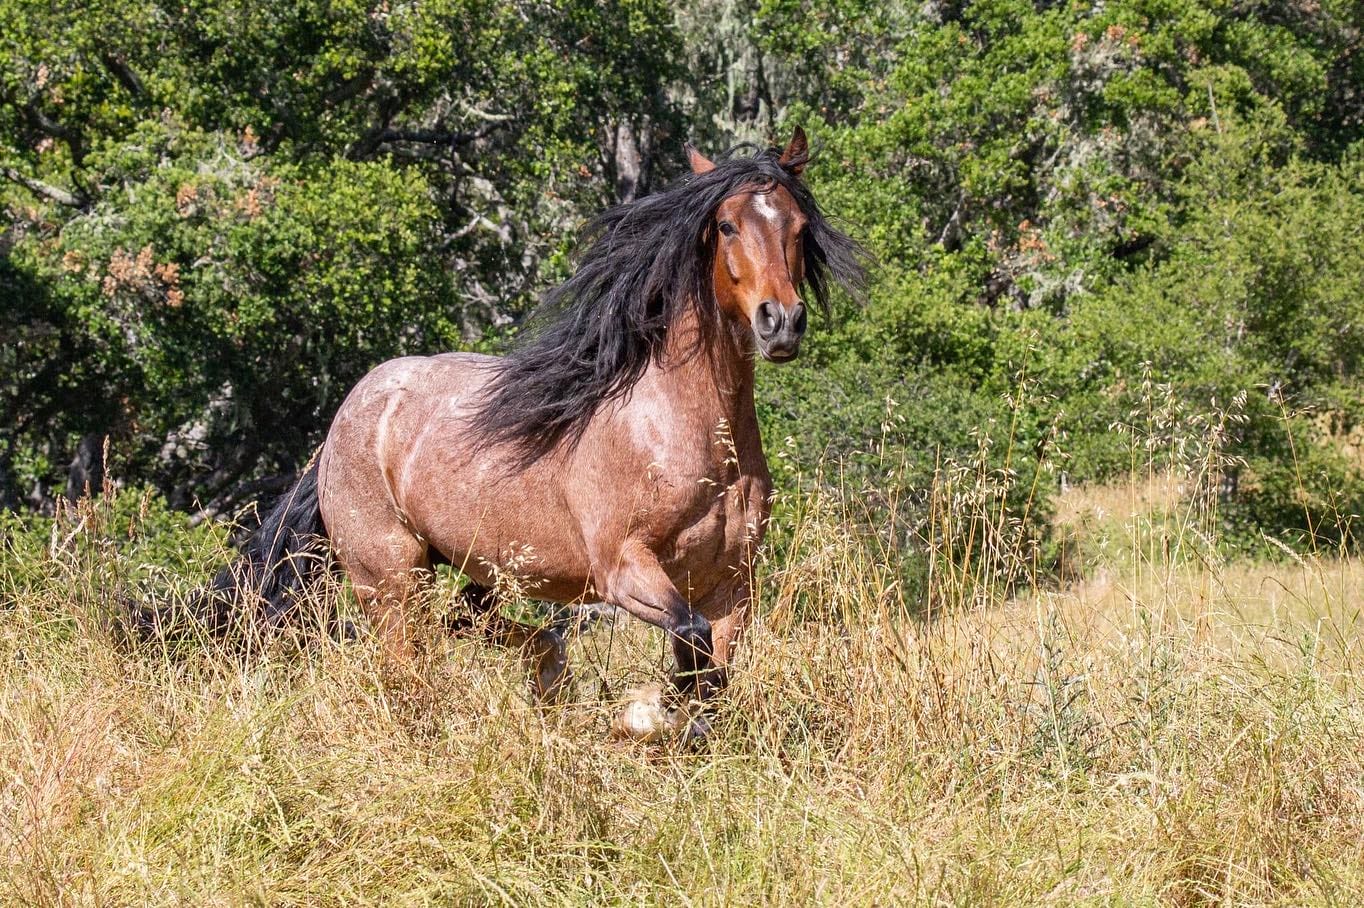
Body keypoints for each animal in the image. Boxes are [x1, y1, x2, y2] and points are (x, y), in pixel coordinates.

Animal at [149, 128, 865, 737]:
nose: (781, 322)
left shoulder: (732, 586)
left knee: (467, 623)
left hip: (480, 569)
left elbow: (712, 677)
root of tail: (347, 418)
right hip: (390, 580)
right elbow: (688, 644)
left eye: (799, 227)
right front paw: (644, 716)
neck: (683, 435)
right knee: (409, 668)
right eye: (724, 224)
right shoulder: (625, 570)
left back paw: (548, 671)